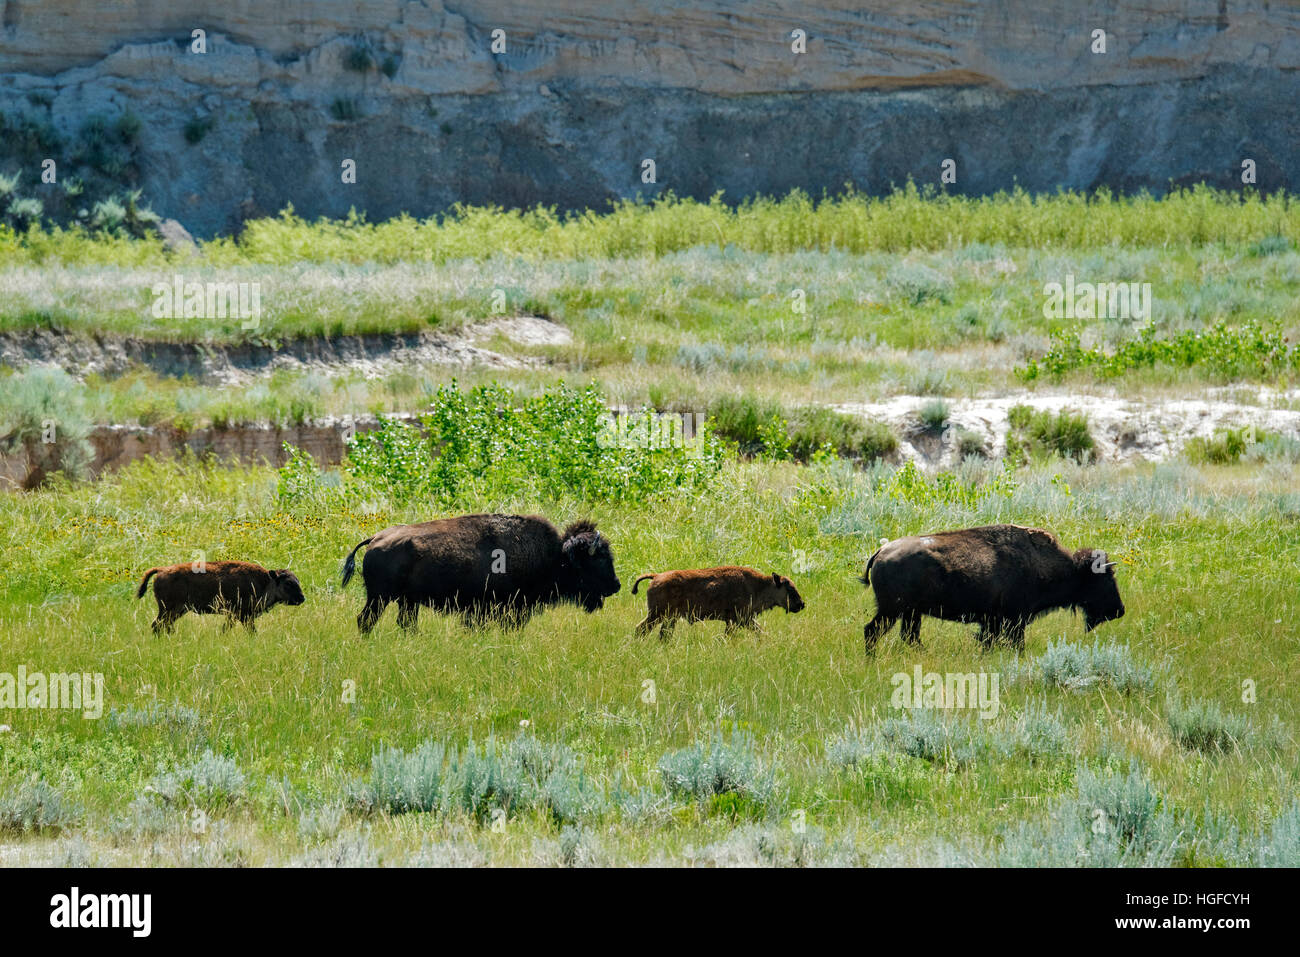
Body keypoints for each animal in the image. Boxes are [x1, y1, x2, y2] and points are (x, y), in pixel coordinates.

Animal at [136, 560, 305, 634]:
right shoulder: (243, 615)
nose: (302, 598)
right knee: (158, 625)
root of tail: (162, 570)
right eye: (289, 583)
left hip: (176, 611)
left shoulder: (234, 615)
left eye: (297, 581)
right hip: (169, 610)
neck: (266, 581)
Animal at [341, 514, 620, 632]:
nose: (616, 585)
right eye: (599, 559)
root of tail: (375, 539)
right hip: (380, 598)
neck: (554, 556)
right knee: (365, 620)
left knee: (404, 623)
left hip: (406, 602)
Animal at [860, 523, 1124, 652]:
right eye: (1104, 580)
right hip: (892, 611)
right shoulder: (1012, 621)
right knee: (871, 631)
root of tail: (881, 552)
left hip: (910, 613)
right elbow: (1014, 643)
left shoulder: (992, 622)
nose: (1119, 610)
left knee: (909, 637)